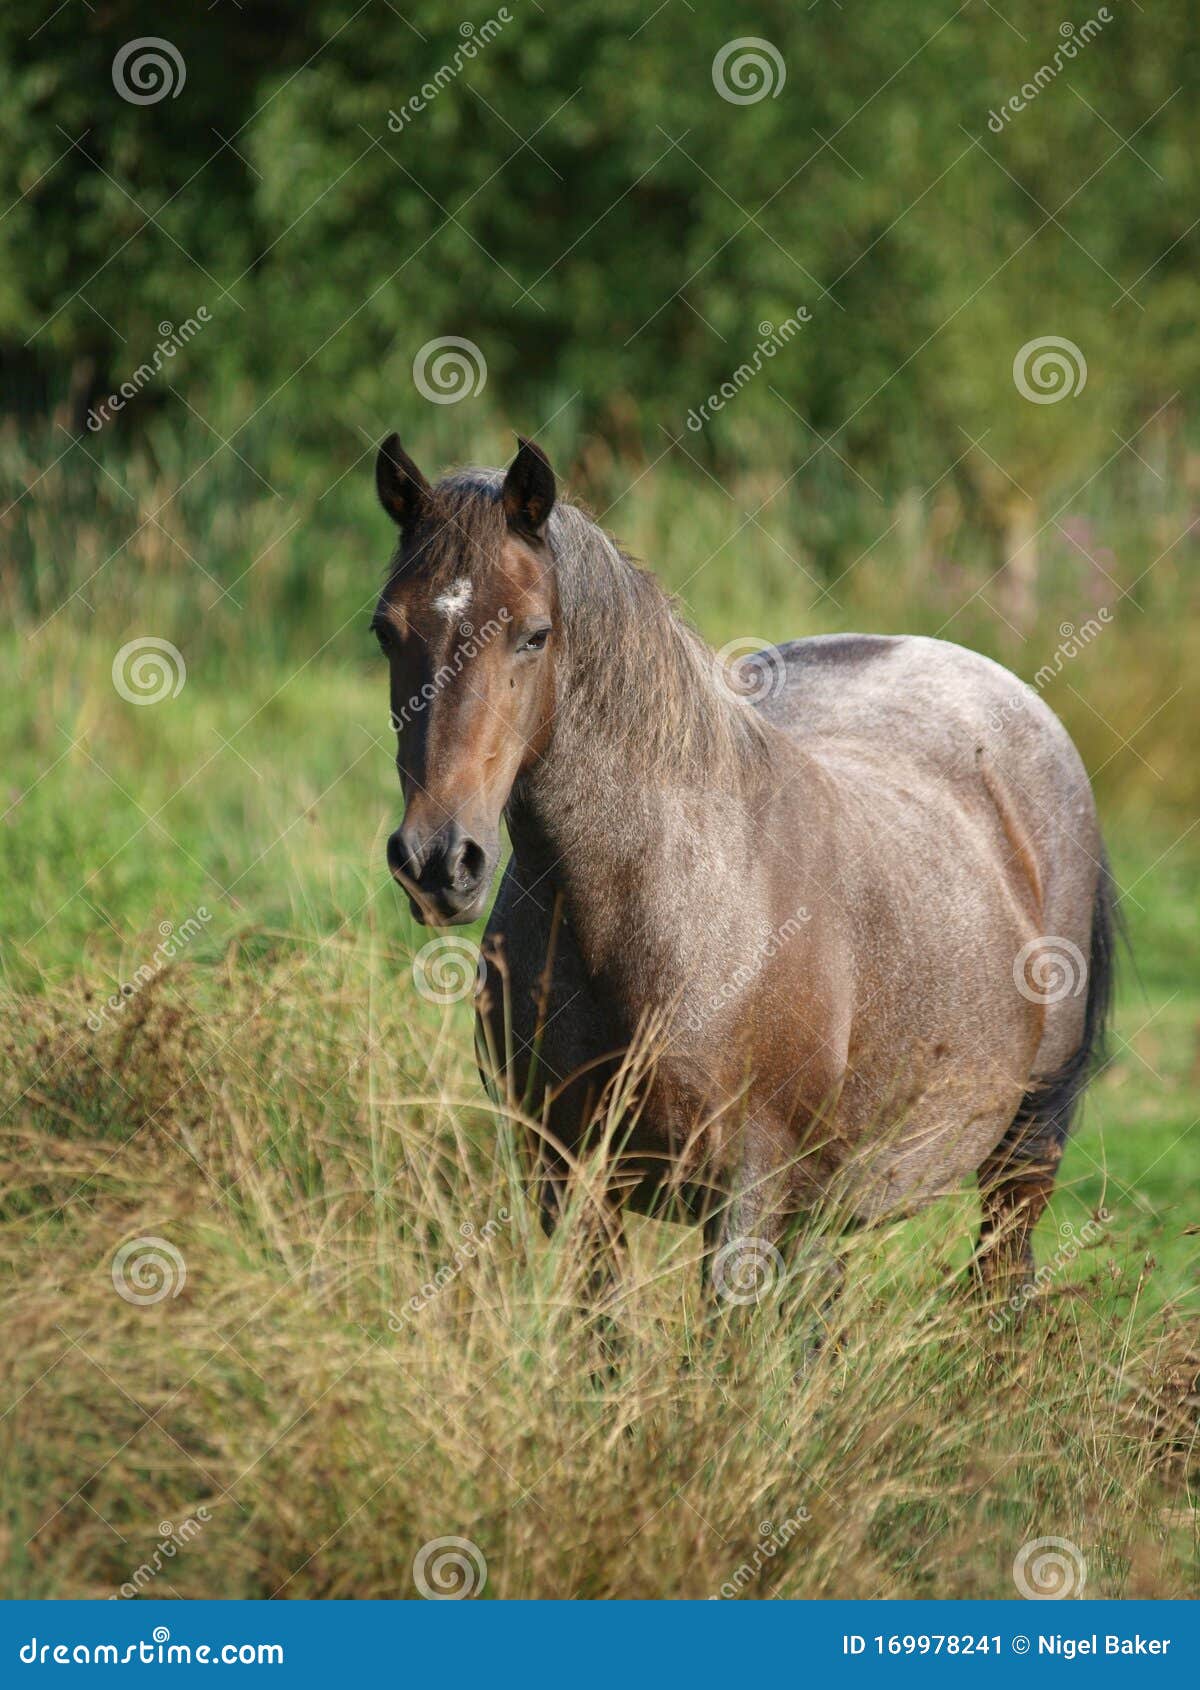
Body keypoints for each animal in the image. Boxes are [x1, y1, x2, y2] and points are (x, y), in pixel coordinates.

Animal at [372, 433, 1116, 1312]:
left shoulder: (746, 1193)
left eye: (534, 634)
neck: (666, 904)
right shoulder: (566, 1175)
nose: (437, 860)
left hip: (1021, 1153)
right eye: (386, 631)